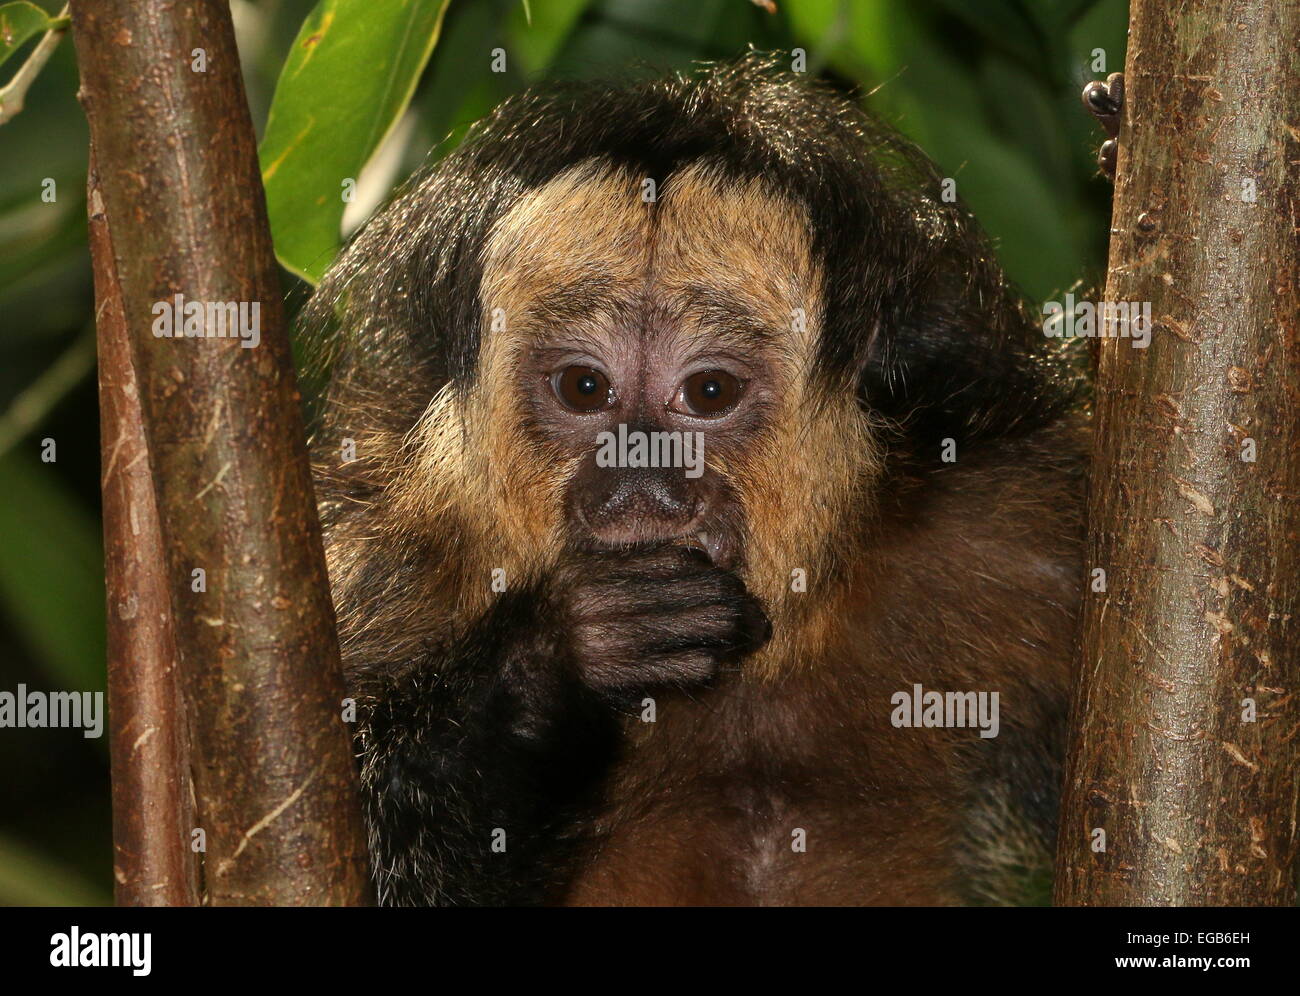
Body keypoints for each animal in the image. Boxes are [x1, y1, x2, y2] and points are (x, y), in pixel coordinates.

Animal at [300, 53, 1088, 906]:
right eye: (584, 387)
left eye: (709, 392)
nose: (641, 487)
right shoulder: (366, 565)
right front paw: (569, 652)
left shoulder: (1022, 520)